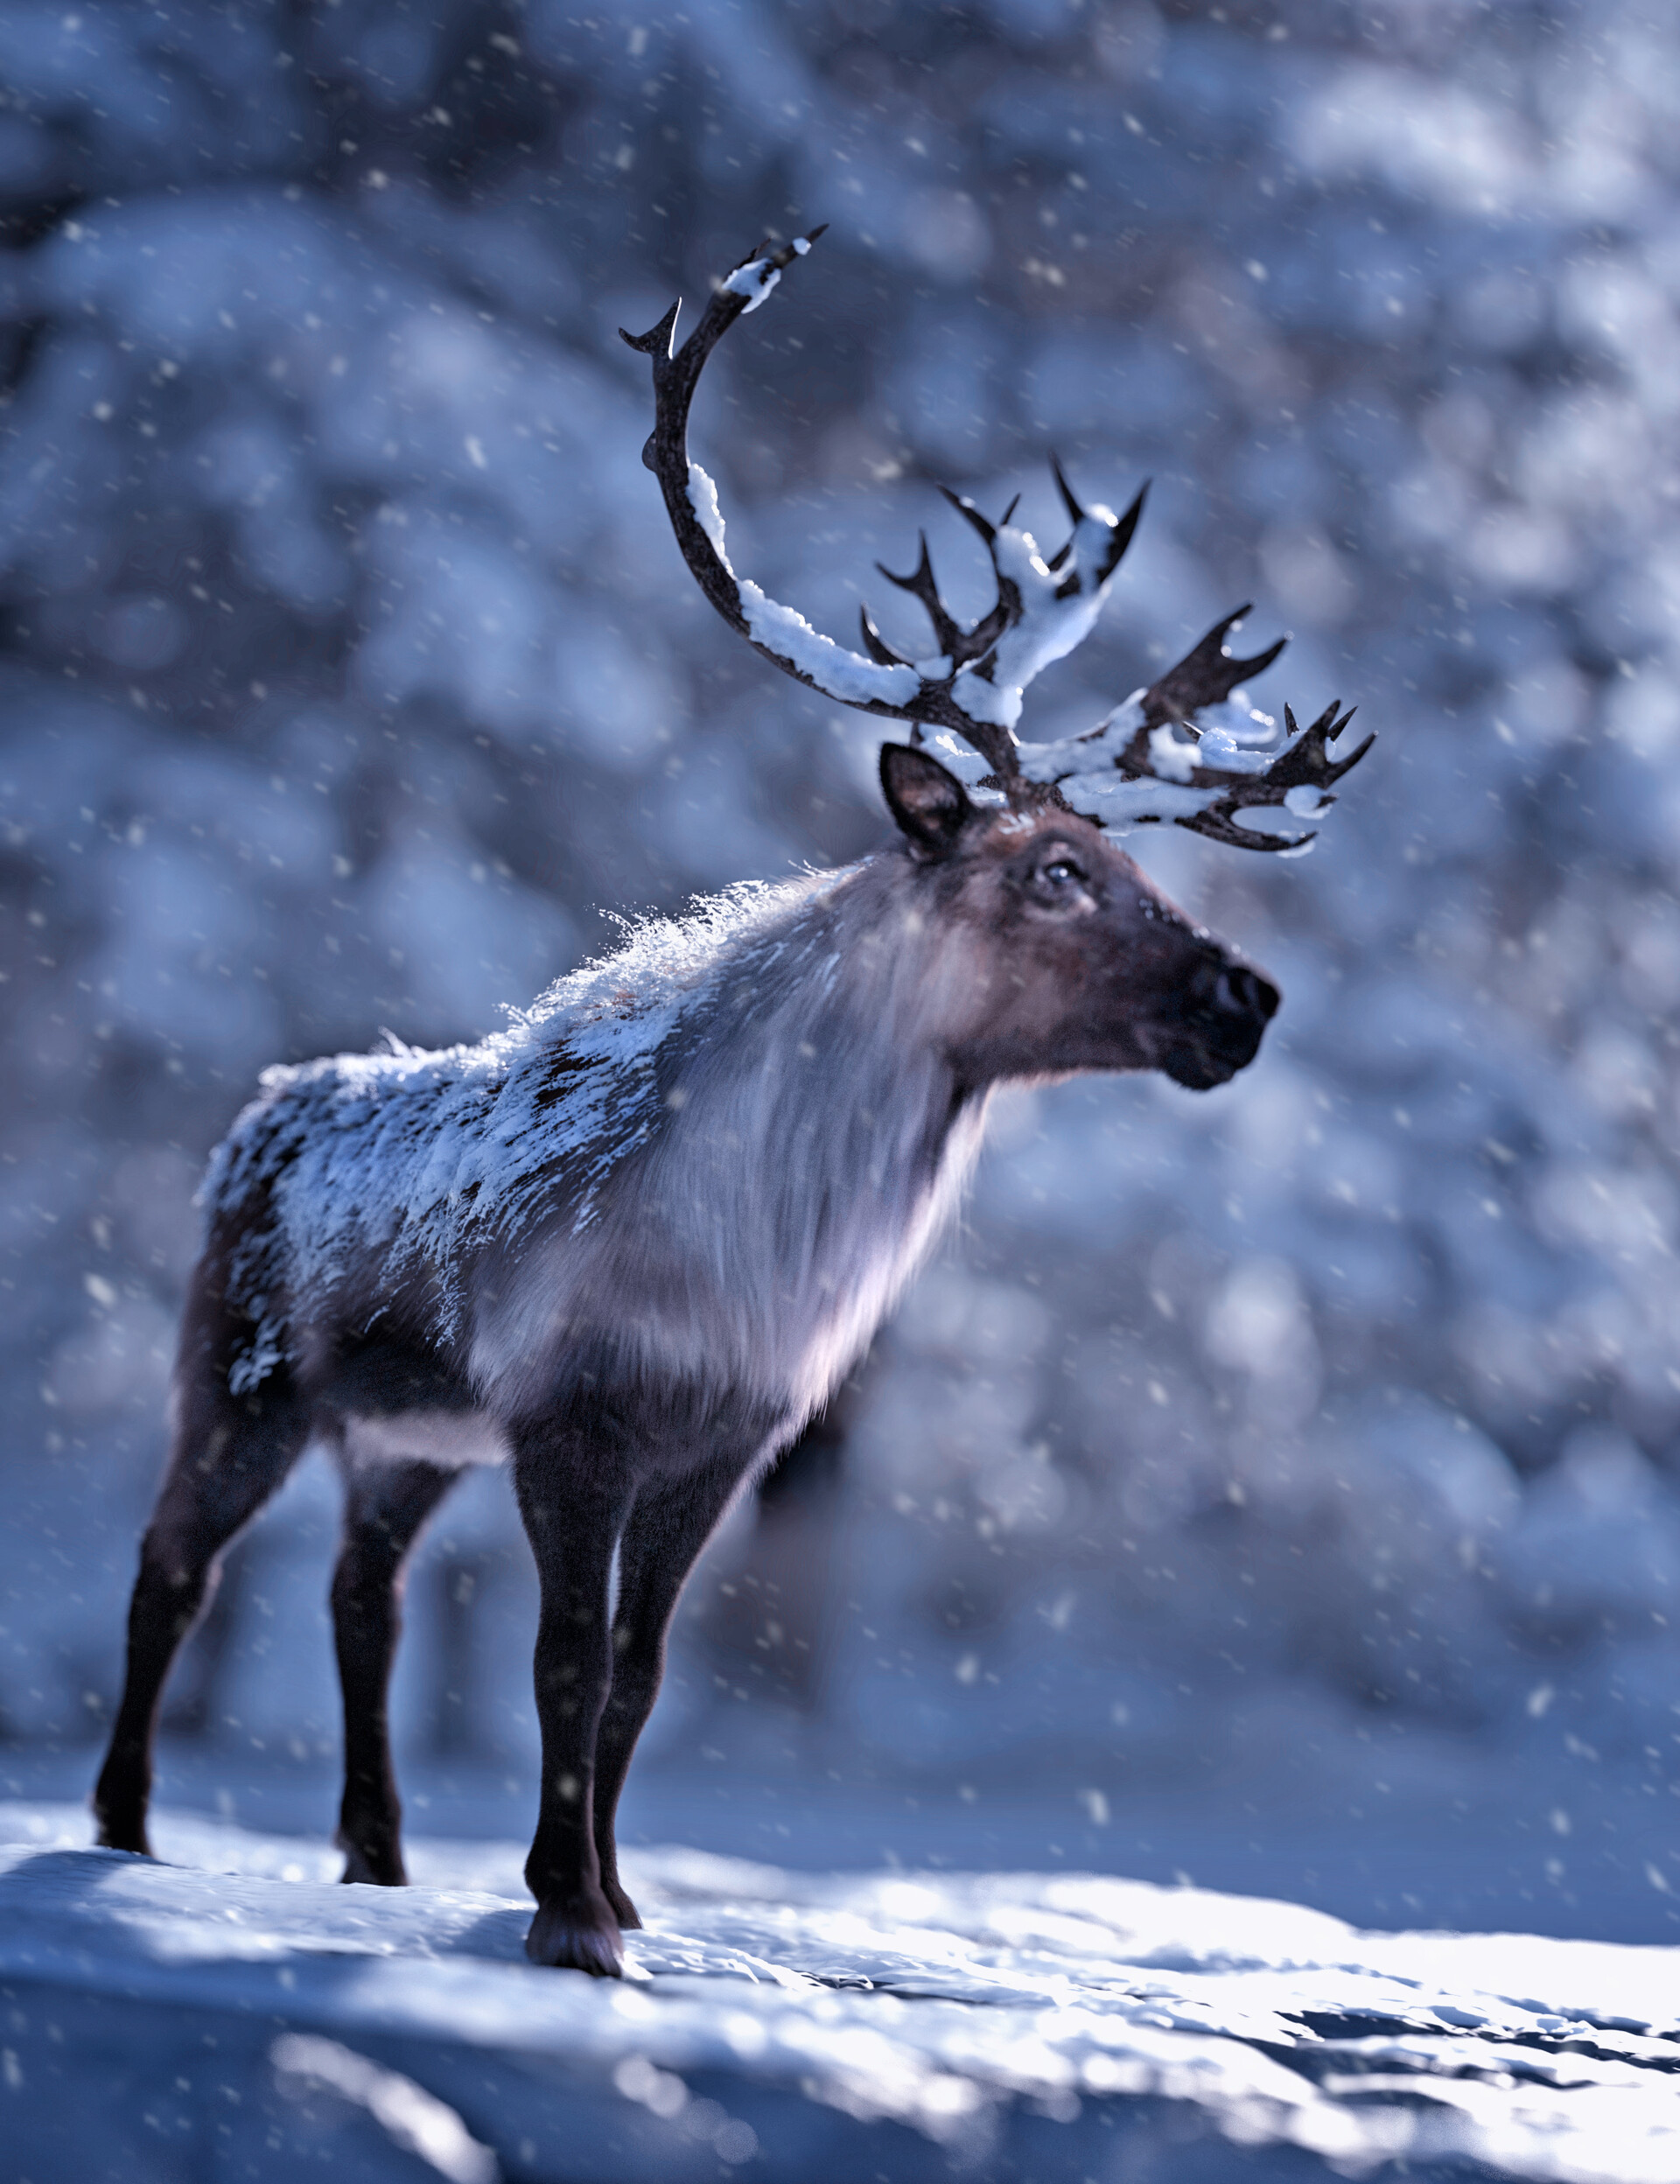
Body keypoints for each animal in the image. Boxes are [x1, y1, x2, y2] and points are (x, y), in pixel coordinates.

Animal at [93, 233, 1372, 1976]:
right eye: (1054, 870)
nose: (1248, 996)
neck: (771, 1240)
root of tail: (255, 1113)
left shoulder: (731, 1437)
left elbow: (638, 1674)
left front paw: (622, 1895)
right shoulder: (574, 1413)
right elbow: (565, 1661)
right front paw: (566, 1912)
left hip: (407, 1436)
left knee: (366, 1591)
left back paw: (377, 1856)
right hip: (240, 1375)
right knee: (173, 1566)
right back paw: (124, 1827)